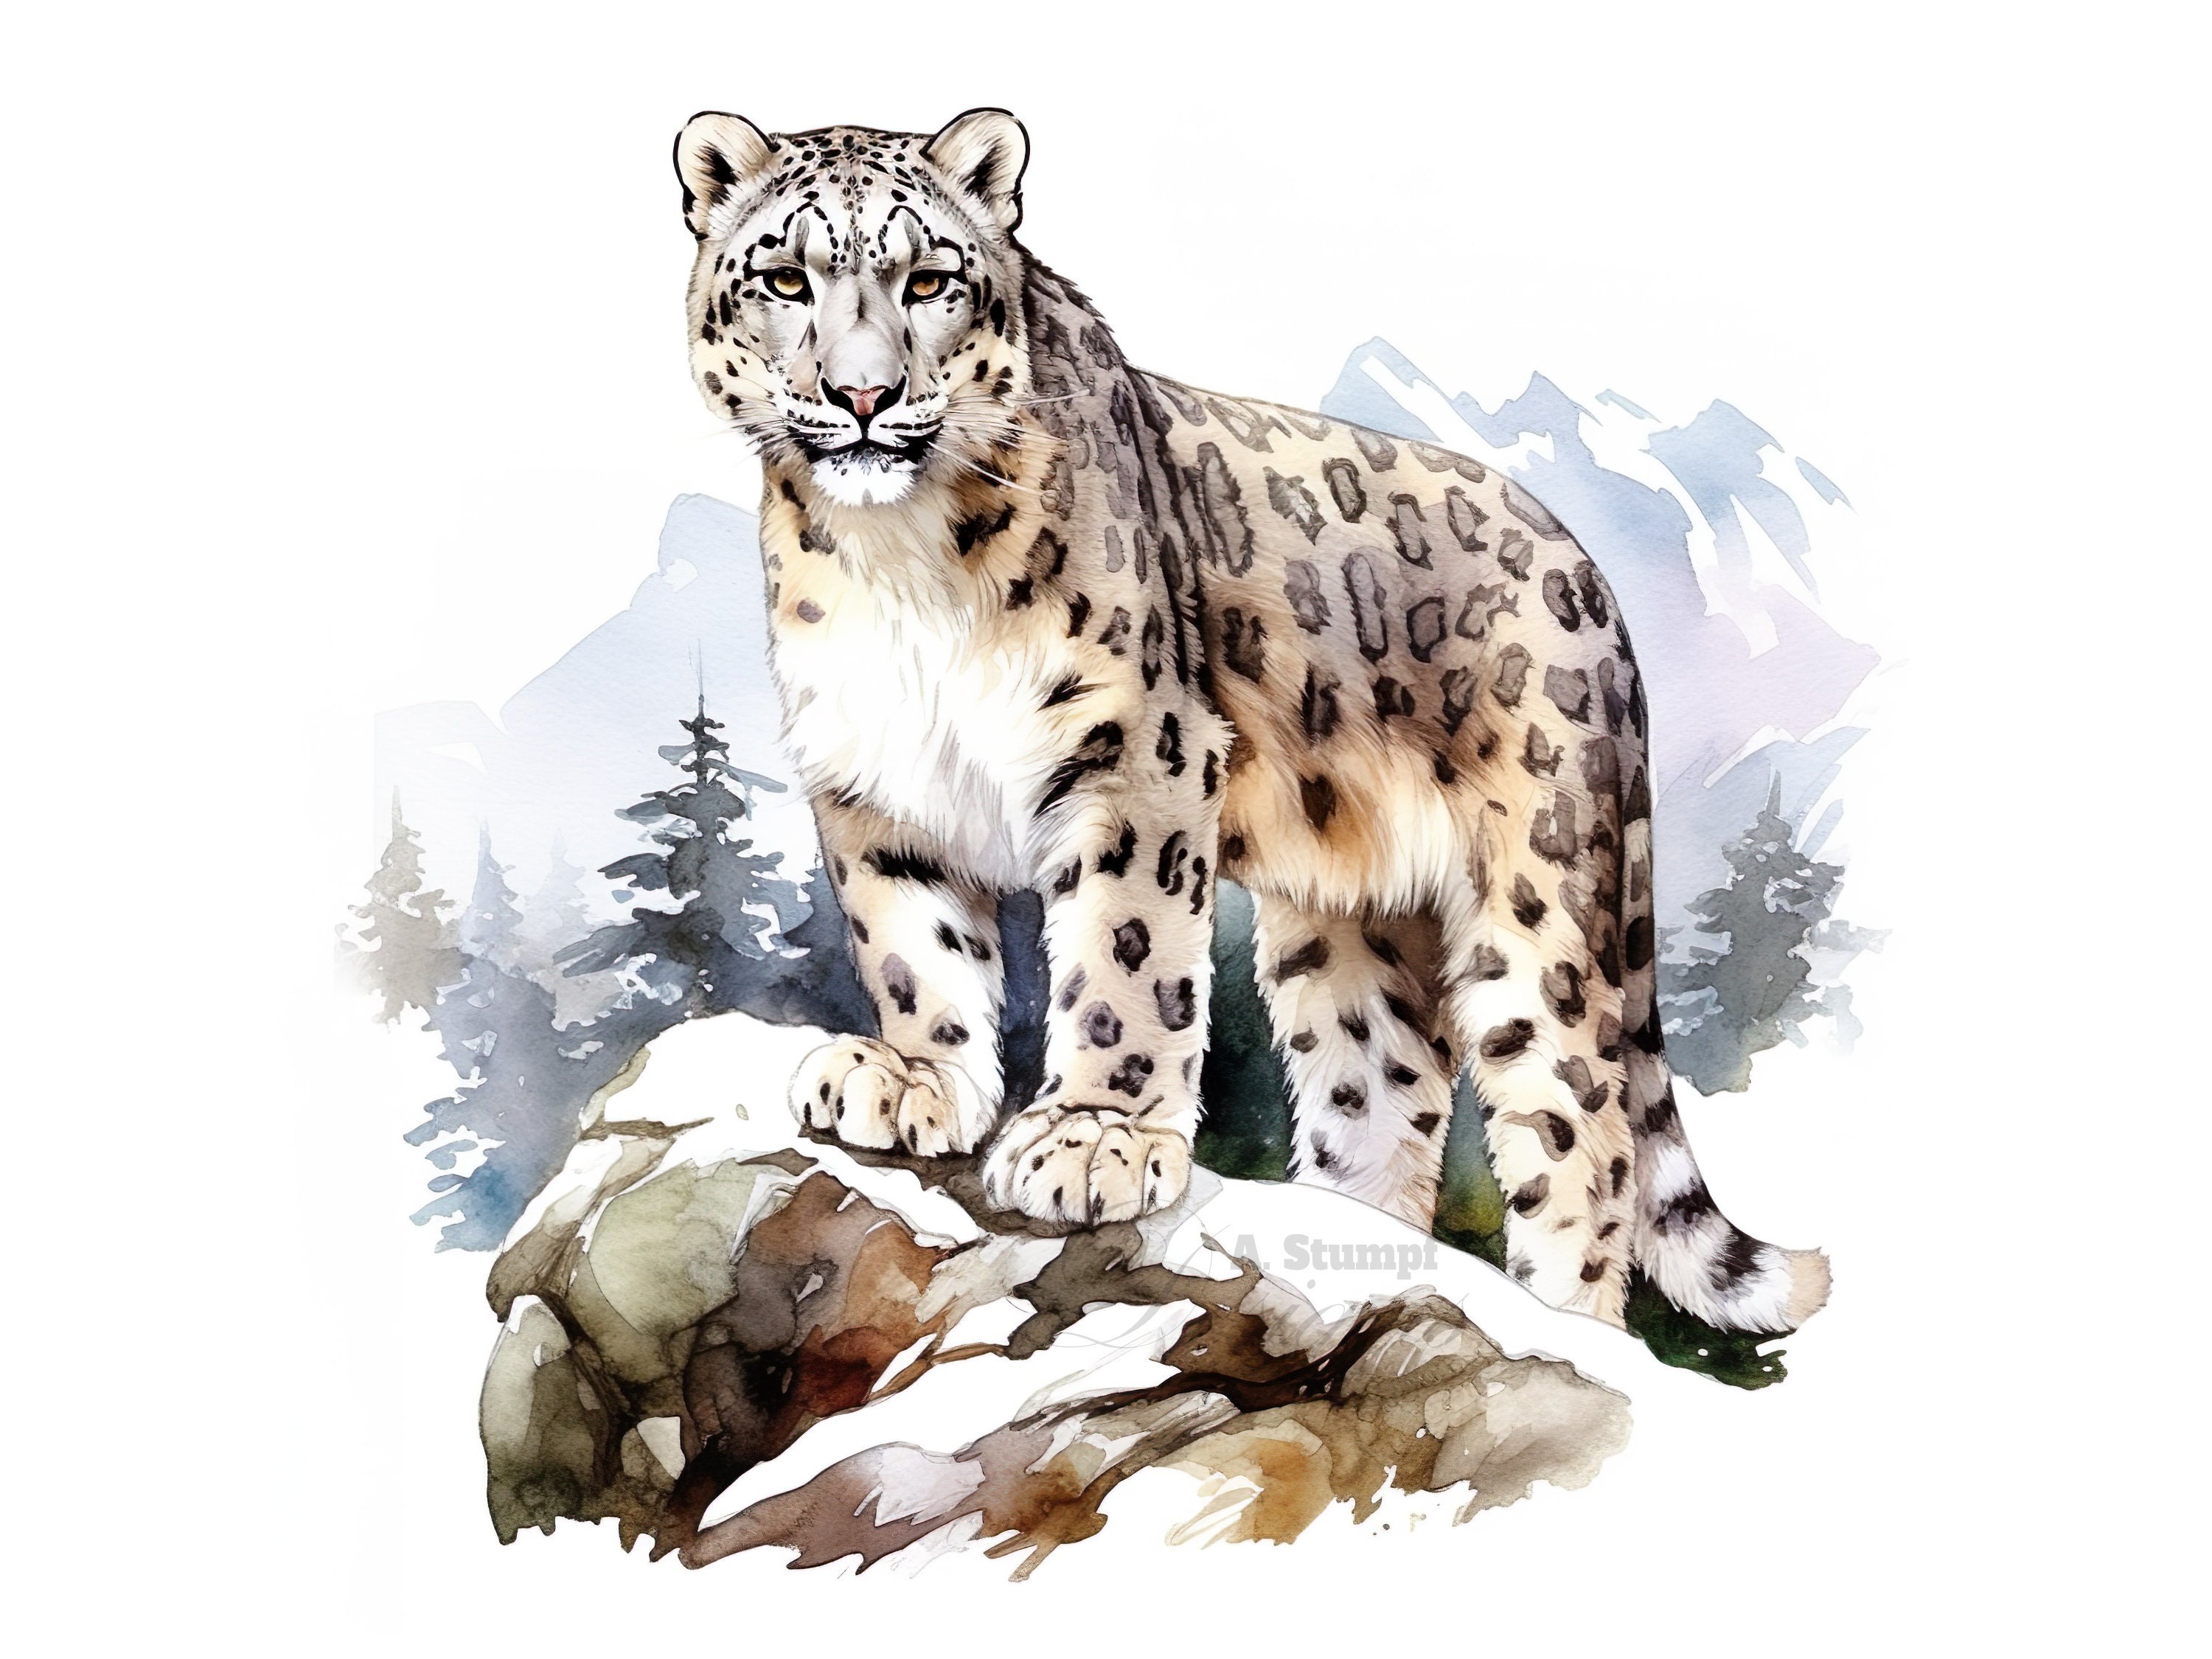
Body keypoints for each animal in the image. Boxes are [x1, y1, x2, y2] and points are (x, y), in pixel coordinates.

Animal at [672, 107, 1829, 1334]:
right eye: (786, 277)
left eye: (930, 279)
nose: (864, 395)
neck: (896, 560)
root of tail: (1590, 581)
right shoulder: (873, 766)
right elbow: (910, 943)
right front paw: (914, 1079)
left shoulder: (1135, 753)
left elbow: (1125, 955)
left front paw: (1094, 1136)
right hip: (1353, 933)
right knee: (1381, 1098)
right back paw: (1349, 1250)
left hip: (1541, 907)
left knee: (1582, 1136)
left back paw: (1564, 1323)